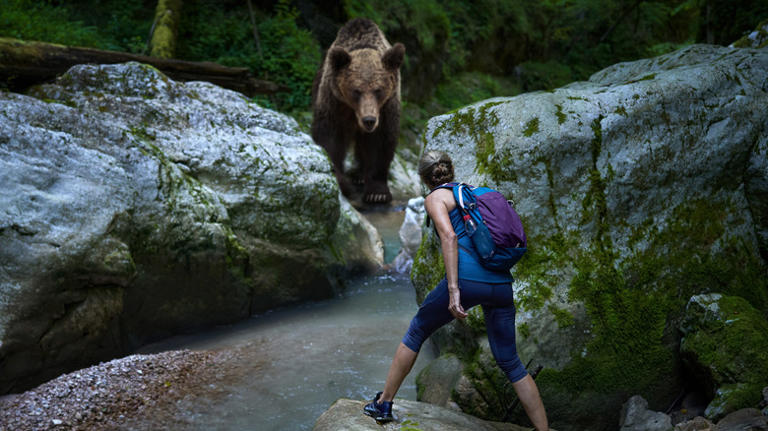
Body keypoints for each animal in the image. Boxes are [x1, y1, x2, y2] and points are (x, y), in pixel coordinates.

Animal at [311, 18, 405, 204]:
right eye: (356, 90)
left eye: (378, 90)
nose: (368, 120)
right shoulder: (334, 103)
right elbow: (329, 138)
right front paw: (341, 182)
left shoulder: (386, 108)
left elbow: (380, 142)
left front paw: (377, 193)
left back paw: (360, 176)